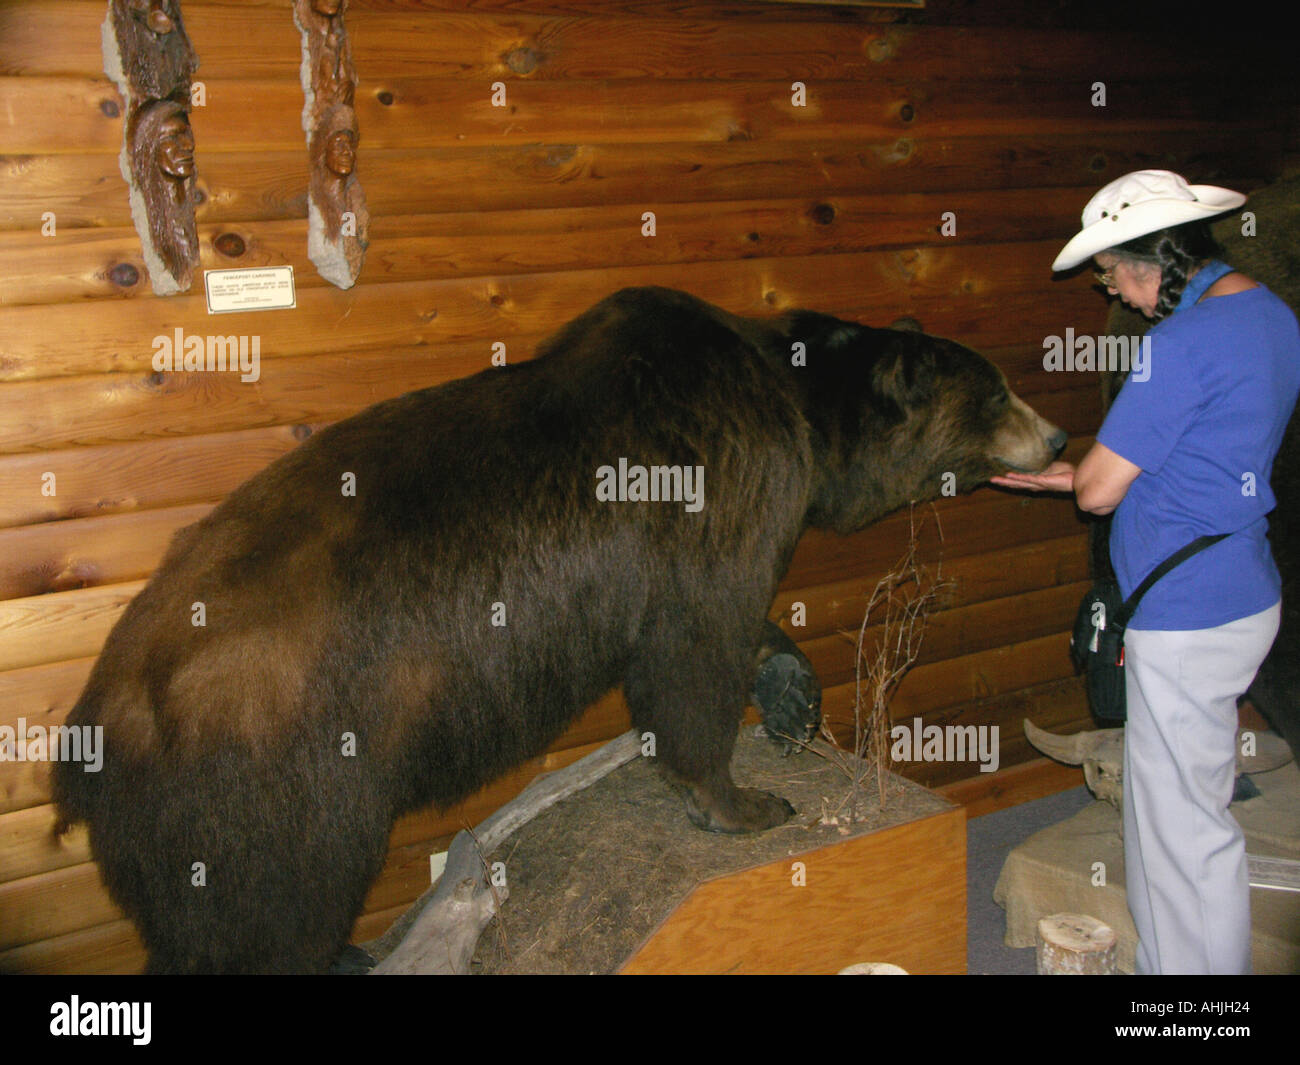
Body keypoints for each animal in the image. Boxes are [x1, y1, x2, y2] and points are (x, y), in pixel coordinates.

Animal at [52, 286, 1065, 974]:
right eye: (997, 391)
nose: (1057, 437)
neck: (799, 412)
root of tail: (100, 720)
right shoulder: (721, 489)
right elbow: (697, 642)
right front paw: (744, 800)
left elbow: (724, 626)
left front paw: (789, 698)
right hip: (279, 778)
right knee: (272, 910)